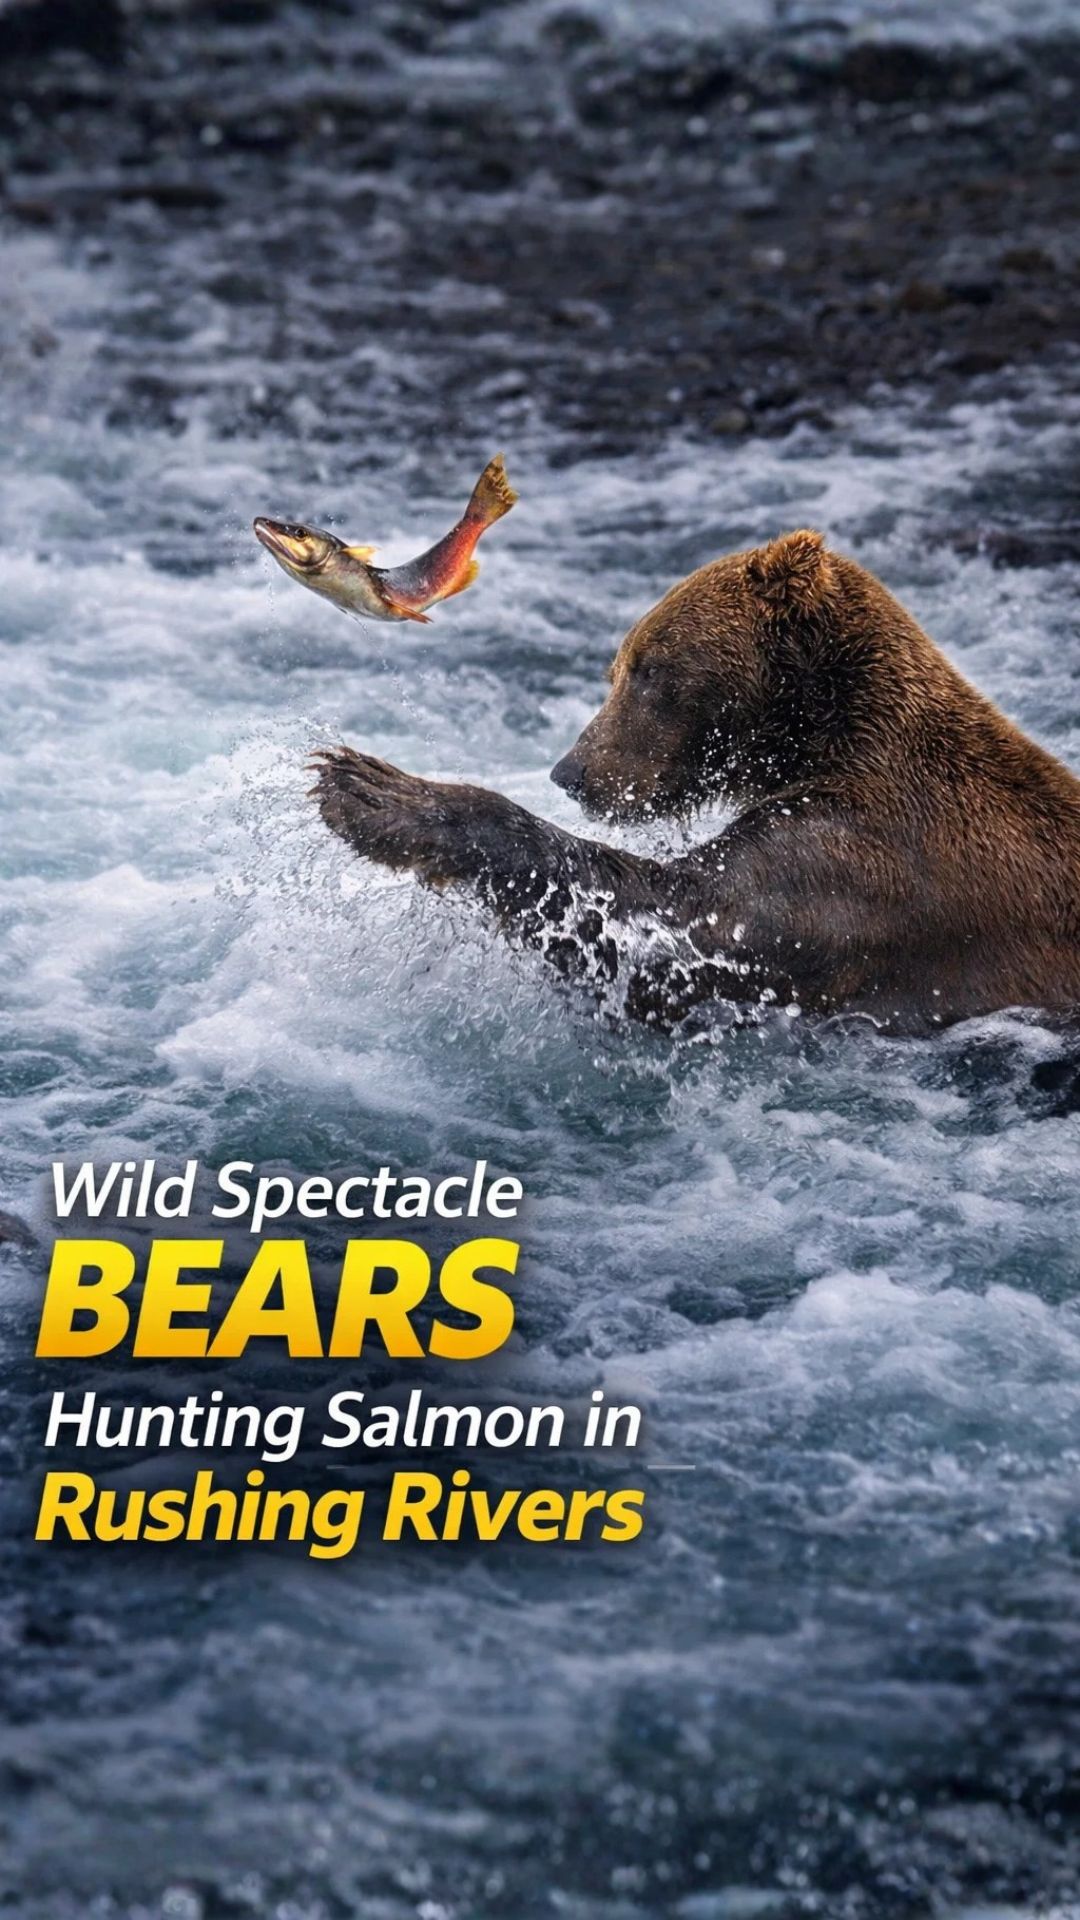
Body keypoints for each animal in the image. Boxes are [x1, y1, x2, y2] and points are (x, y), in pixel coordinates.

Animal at [308, 530, 1080, 1033]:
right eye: (615, 668)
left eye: (648, 667)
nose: (570, 771)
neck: (823, 735)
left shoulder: (873, 863)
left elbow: (676, 928)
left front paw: (368, 789)